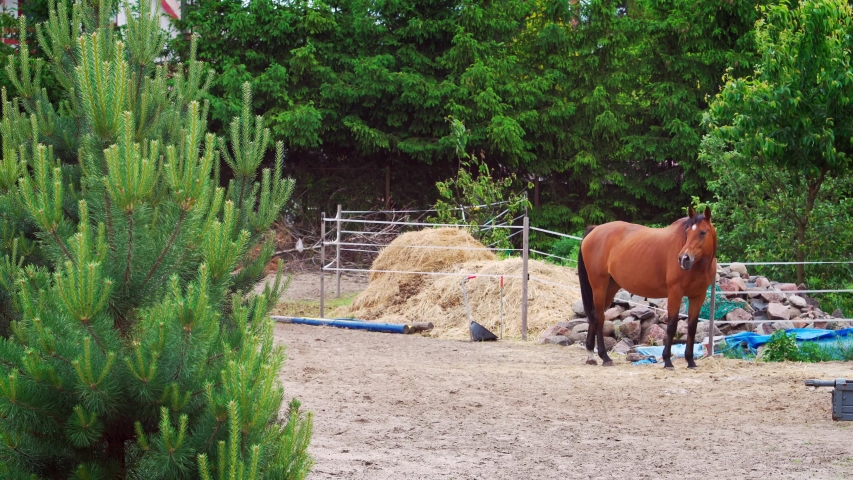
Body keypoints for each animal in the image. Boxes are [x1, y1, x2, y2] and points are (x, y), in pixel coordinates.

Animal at [576, 206, 717, 369]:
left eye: (702, 232)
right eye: (687, 233)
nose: (684, 259)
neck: (698, 266)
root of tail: (594, 230)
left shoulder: (698, 296)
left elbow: (692, 327)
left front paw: (690, 361)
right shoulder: (675, 293)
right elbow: (671, 326)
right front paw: (667, 360)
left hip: (610, 288)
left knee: (594, 316)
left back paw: (591, 356)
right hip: (599, 286)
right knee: (599, 318)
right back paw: (605, 357)